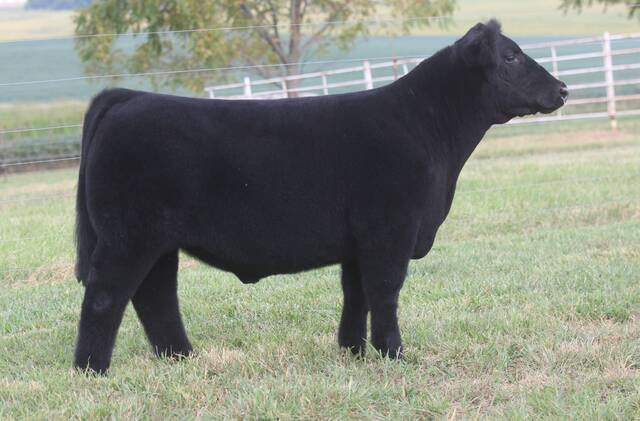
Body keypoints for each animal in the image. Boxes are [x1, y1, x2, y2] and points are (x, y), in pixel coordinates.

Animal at [73, 20, 567, 373]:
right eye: (510, 56)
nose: (563, 89)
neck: (427, 129)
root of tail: (128, 98)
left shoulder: (360, 242)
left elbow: (357, 293)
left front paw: (353, 351)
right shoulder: (391, 230)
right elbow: (385, 289)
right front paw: (393, 353)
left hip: (158, 241)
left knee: (155, 295)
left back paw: (180, 358)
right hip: (129, 235)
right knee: (106, 295)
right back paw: (91, 369)